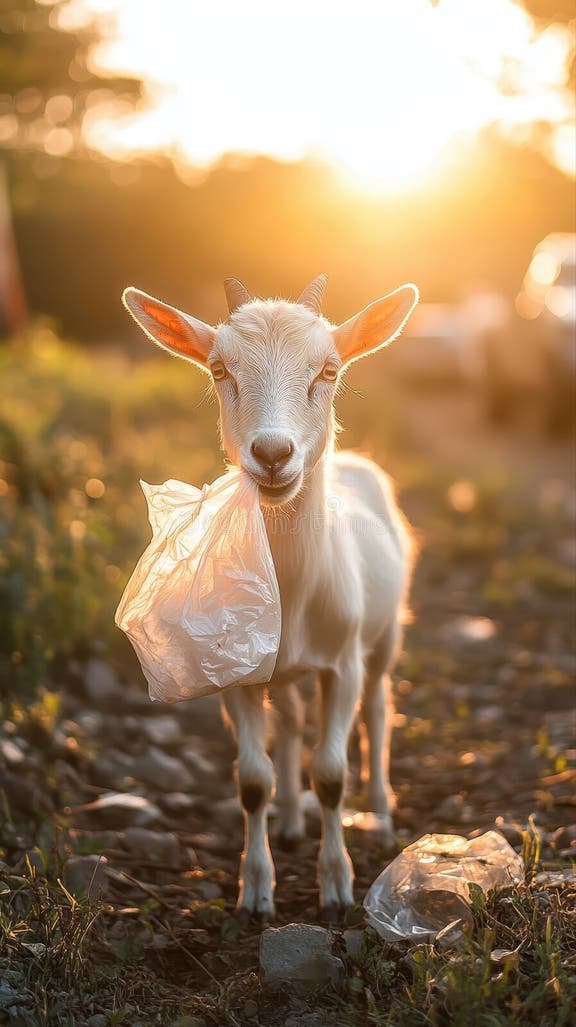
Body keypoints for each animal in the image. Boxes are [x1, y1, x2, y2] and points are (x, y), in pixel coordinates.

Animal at [123, 274, 418, 920]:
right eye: (218, 369)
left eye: (329, 369)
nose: (274, 453)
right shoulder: (236, 674)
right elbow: (251, 780)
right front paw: (256, 892)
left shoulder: (342, 661)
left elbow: (331, 773)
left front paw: (337, 888)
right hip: (280, 671)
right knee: (290, 720)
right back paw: (286, 820)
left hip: (385, 633)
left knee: (379, 708)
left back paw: (382, 812)